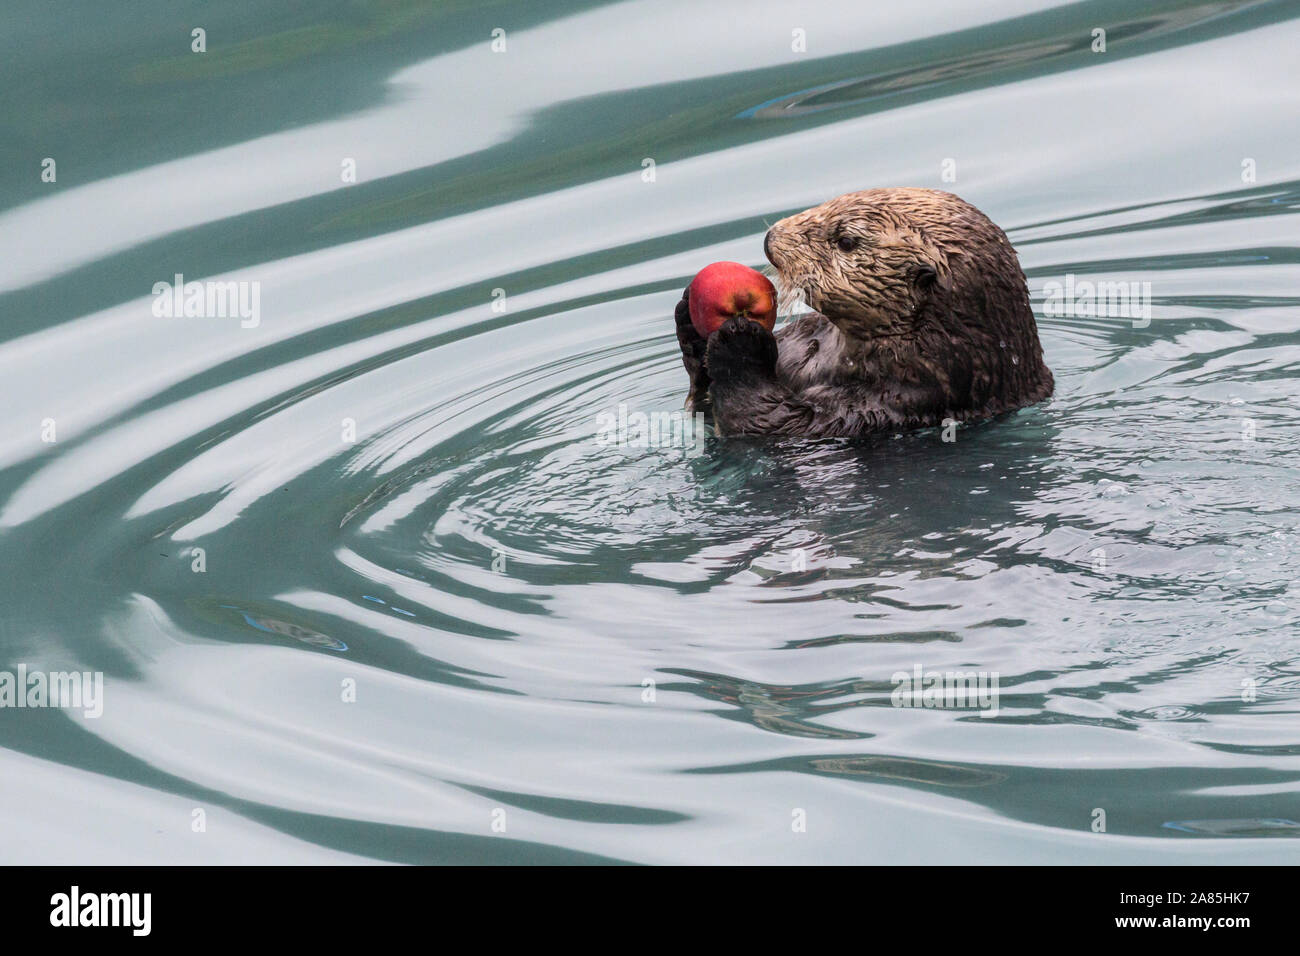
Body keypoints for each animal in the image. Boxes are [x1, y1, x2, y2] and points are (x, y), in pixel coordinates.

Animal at [674, 188, 1053, 437]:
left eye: (845, 241)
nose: (770, 238)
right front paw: (688, 320)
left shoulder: (893, 402)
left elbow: (770, 424)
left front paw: (739, 342)